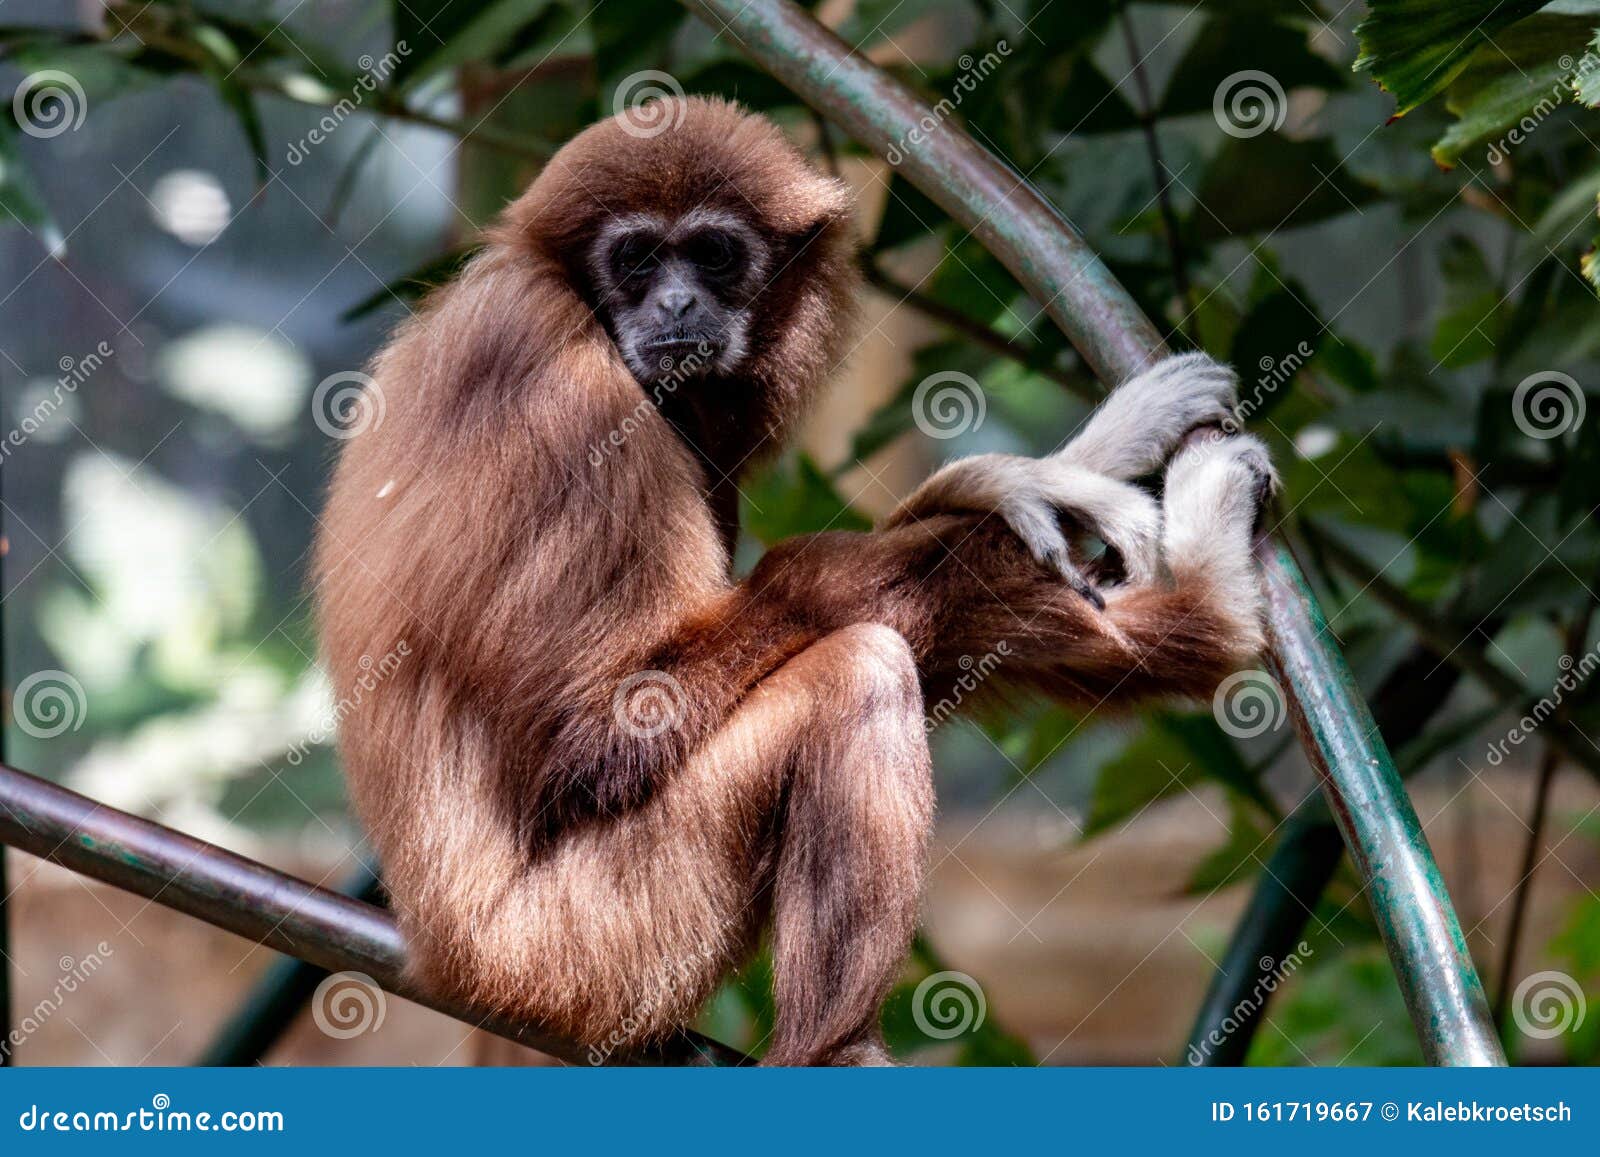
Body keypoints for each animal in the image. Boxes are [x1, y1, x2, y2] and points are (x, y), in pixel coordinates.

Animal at [312, 97, 1275, 1066]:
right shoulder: (554, 381)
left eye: (712, 253)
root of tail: (450, 955)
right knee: (860, 671)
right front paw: (1031, 471)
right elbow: (594, 735)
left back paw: (1205, 618)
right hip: (589, 943)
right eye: (635, 258)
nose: (676, 299)